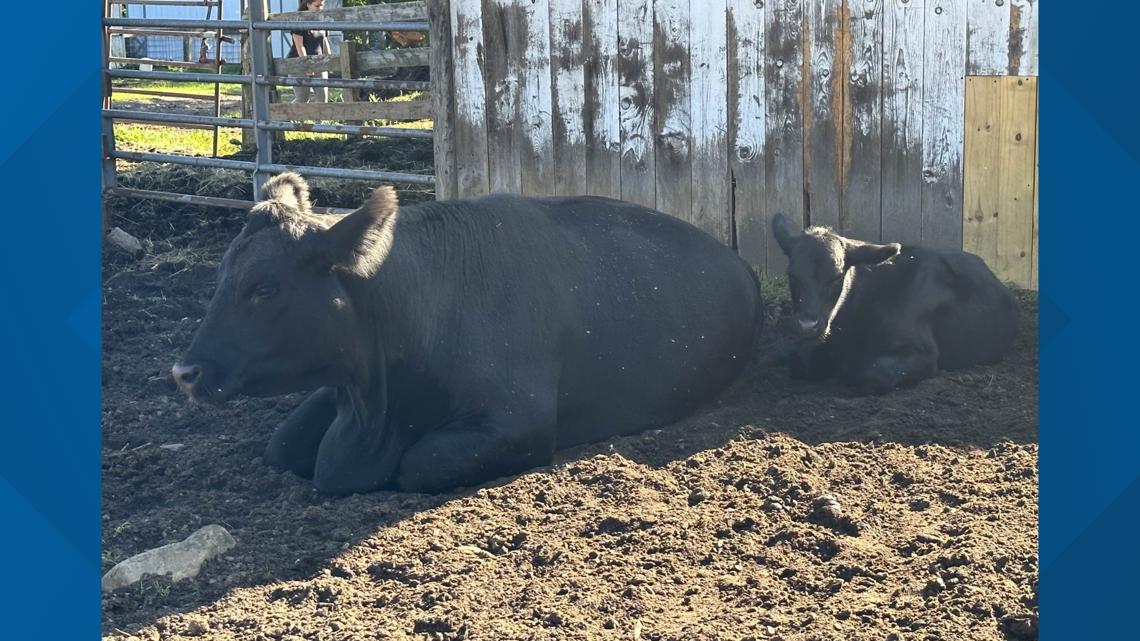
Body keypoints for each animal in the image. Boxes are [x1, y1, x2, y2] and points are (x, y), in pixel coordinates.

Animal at [172, 173, 763, 495]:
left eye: (264, 287)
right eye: (222, 274)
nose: (186, 371)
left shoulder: (519, 421)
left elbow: (418, 463)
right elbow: (282, 442)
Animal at [770, 214, 1019, 395]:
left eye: (836, 276)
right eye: (792, 276)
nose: (807, 325)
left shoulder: (923, 353)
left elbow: (873, 373)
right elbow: (801, 360)